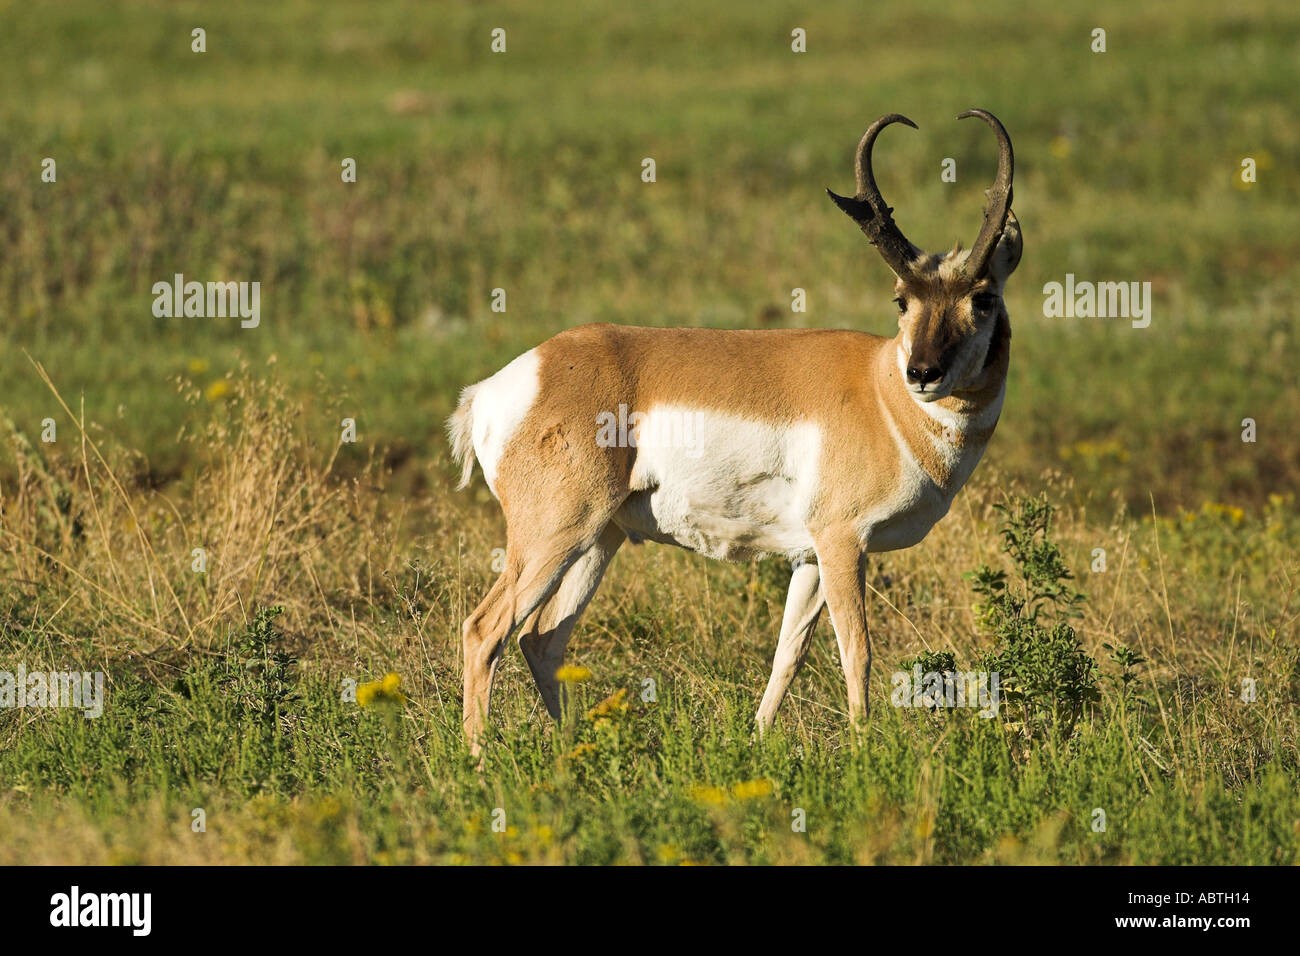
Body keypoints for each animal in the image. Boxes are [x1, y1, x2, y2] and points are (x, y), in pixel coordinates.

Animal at [449, 109, 1021, 752]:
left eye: (983, 297)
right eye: (902, 299)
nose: (923, 373)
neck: (882, 392)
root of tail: (506, 383)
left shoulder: (810, 557)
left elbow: (788, 655)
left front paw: (758, 742)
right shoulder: (843, 542)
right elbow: (858, 652)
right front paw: (864, 751)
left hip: (599, 540)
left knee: (541, 640)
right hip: (554, 535)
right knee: (485, 630)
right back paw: (480, 759)